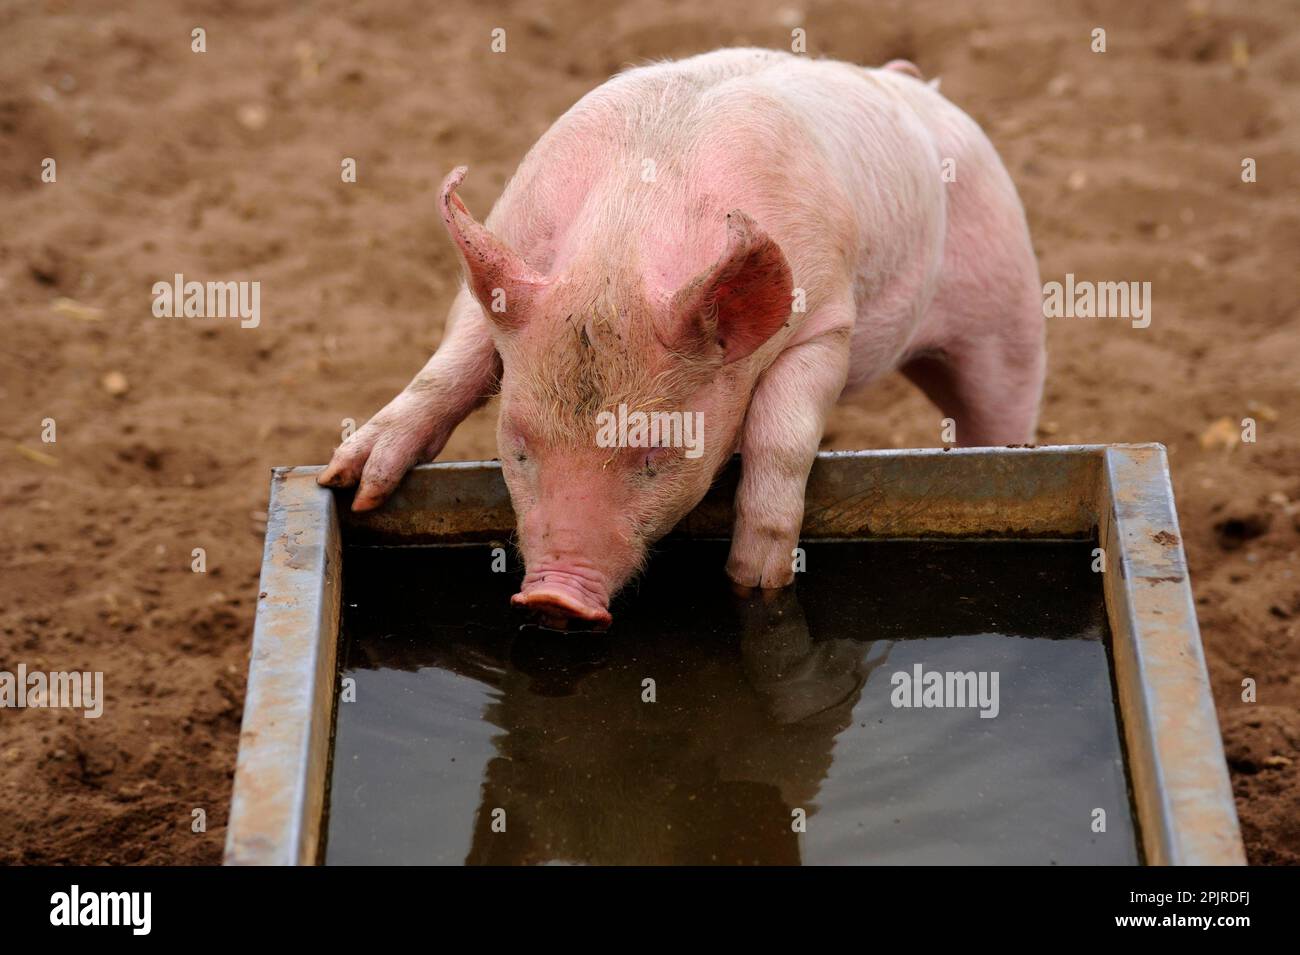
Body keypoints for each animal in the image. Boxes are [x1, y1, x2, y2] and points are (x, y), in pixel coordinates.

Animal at [319, 49, 1045, 628]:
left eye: (657, 455)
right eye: (519, 447)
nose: (554, 599)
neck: (622, 248)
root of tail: (911, 81)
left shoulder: (825, 320)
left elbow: (781, 435)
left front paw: (755, 582)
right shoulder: (499, 276)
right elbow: (445, 370)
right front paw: (351, 484)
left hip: (1007, 299)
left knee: (1003, 399)